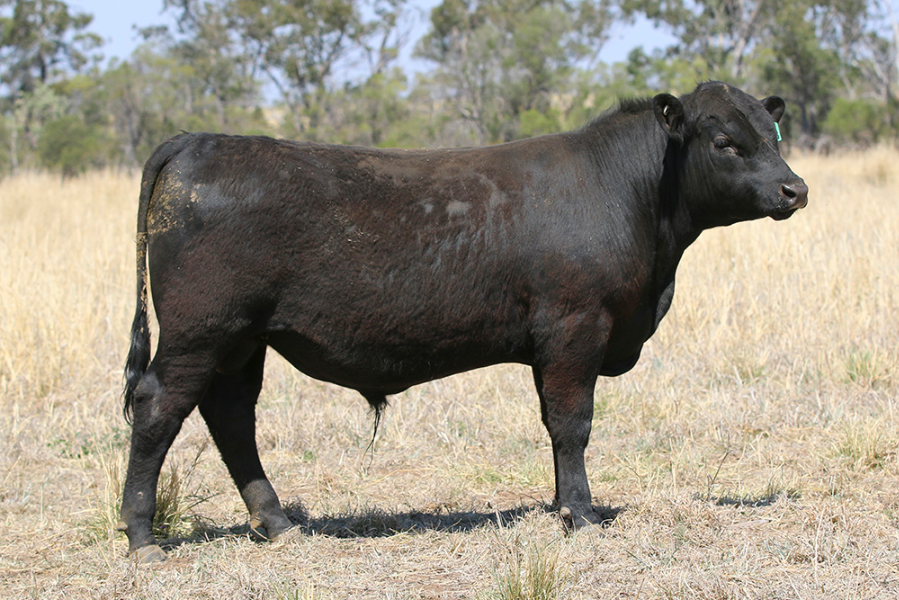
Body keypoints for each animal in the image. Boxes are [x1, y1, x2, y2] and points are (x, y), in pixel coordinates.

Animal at [117, 82, 807, 562]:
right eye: (725, 142)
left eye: (773, 133)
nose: (794, 190)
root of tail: (196, 140)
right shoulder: (576, 329)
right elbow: (572, 424)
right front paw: (581, 516)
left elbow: (553, 427)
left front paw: (560, 504)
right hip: (200, 332)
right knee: (159, 408)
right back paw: (143, 538)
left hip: (242, 341)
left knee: (232, 417)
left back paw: (280, 524)